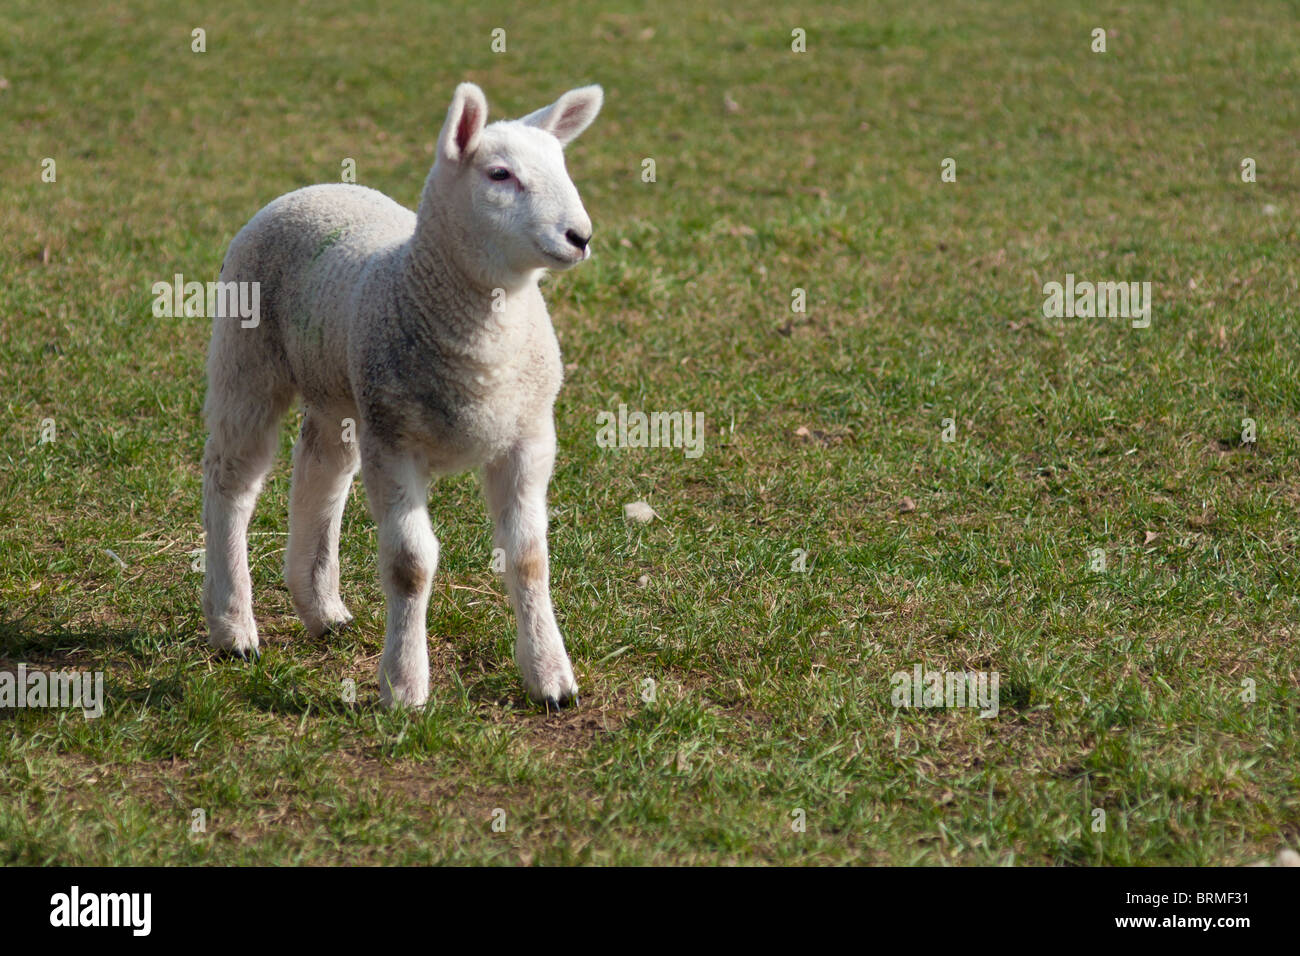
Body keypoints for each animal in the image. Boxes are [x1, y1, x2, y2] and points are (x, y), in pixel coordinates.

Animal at [201, 82, 602, 709]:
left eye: (562, 167)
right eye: (500, 174)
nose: (579, 237)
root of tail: (315, 187)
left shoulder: (529, 436)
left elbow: (529, 557)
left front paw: (550, 678)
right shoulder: (394, 441)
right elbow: (411, 564)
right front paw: (405, 687)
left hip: (340, 389)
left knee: (320, 472)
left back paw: (322, 610)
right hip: (246, 359)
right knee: (232, 480)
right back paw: (234, 627)